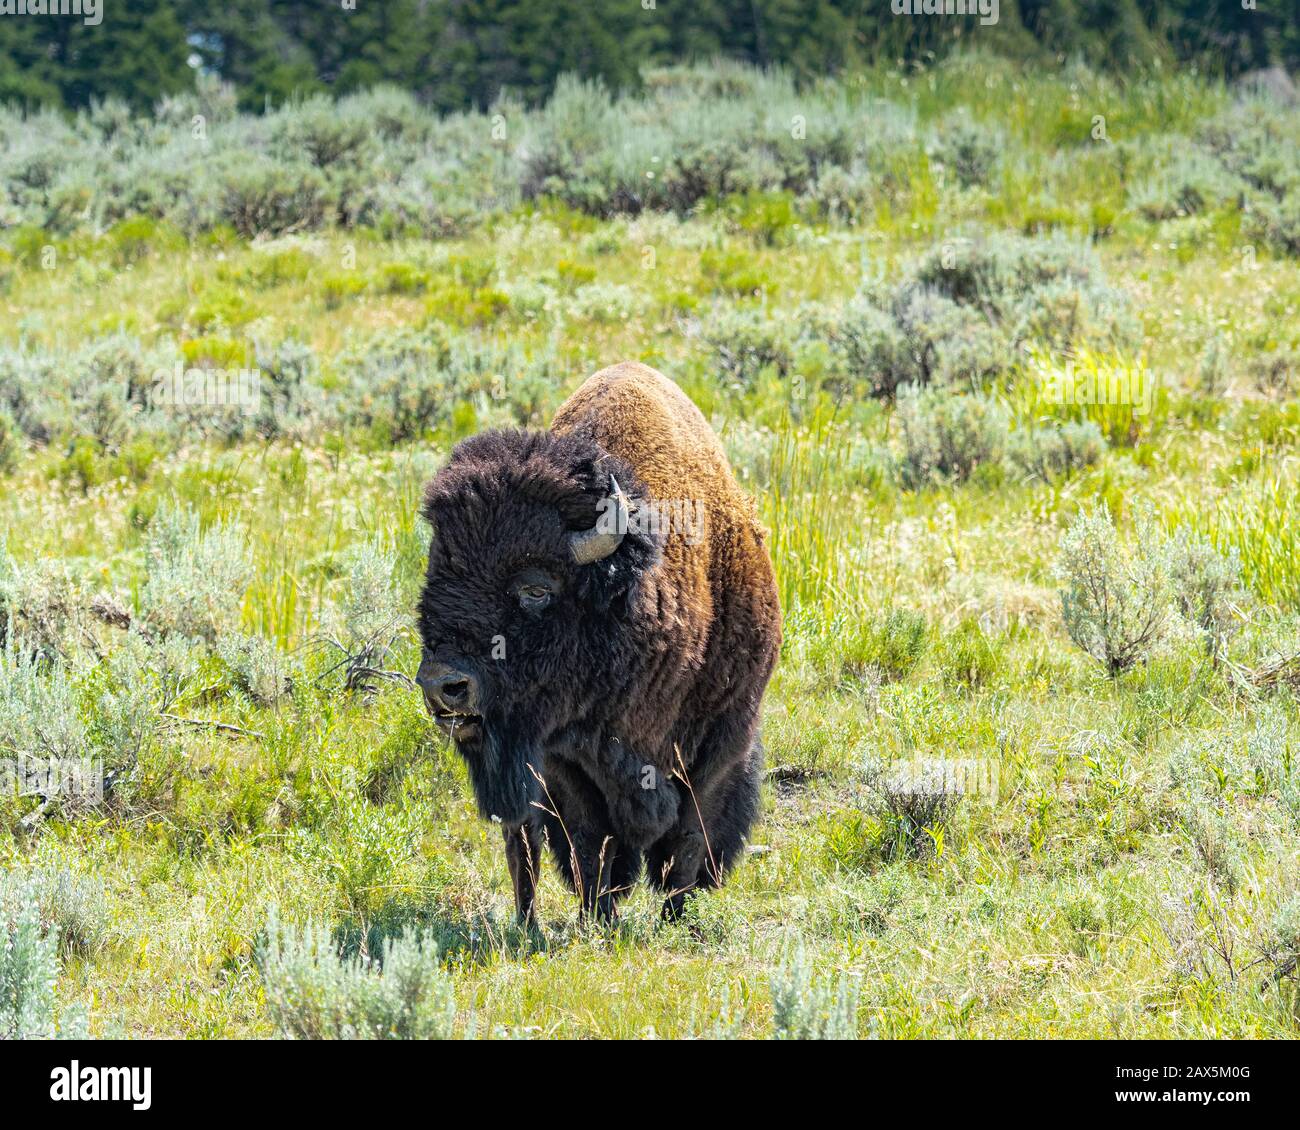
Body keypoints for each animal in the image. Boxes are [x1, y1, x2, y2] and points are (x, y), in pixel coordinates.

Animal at [416, 362, 782, 922]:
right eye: (433, 576)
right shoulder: (563, 761)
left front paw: (680, 920)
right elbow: (592, 845)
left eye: (536, 588)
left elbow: (689, 836)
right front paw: (599, 918)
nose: (442, 685)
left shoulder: (723, 741)